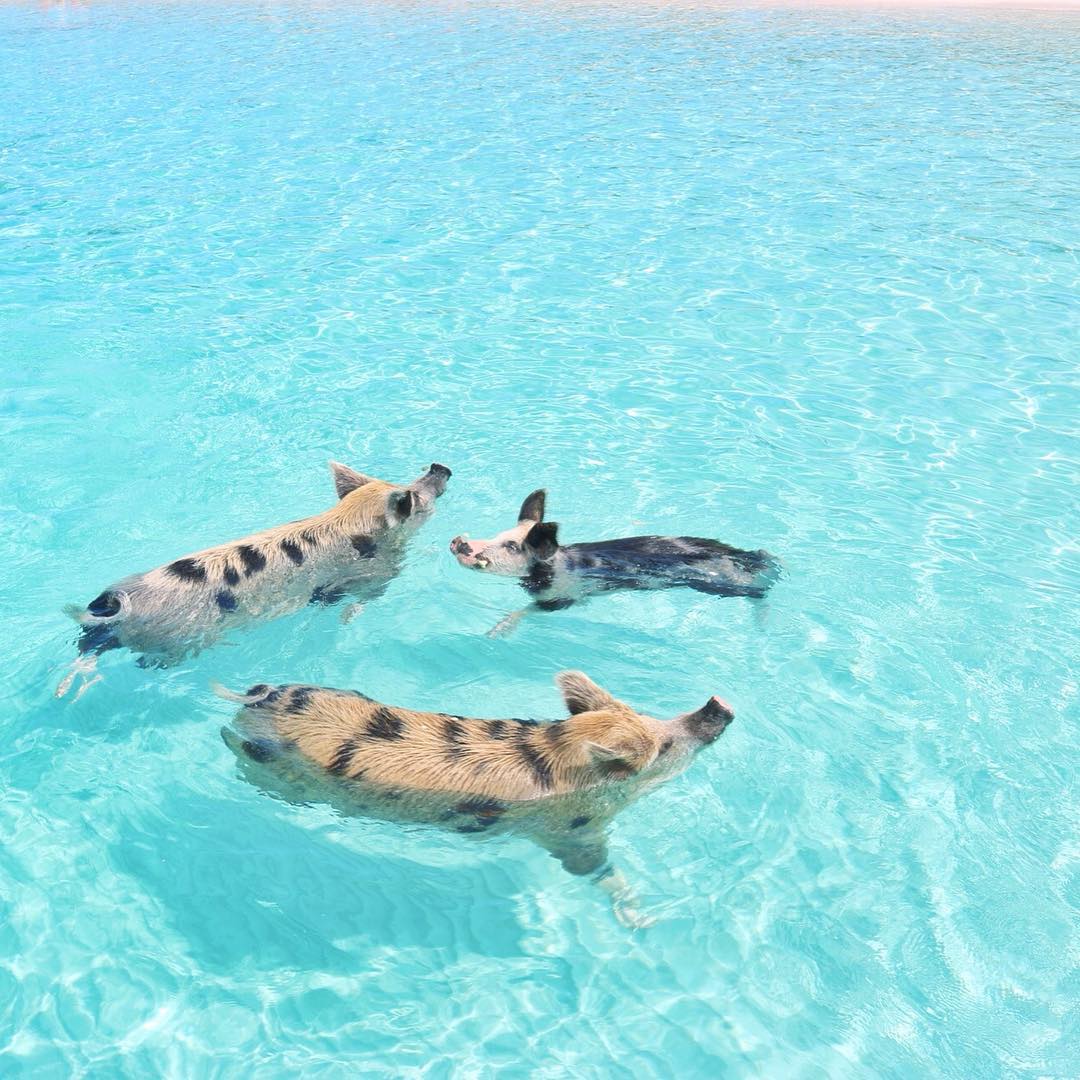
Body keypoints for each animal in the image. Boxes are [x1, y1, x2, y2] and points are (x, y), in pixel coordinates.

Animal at [56, 461, 452, 697]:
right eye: (417, 499)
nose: (440, 467)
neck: (351, 524)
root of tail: (115, 604)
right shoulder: (375, 575)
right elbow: (364, 599)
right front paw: (347, 618)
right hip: (173, 642)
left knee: (86, 644)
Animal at [216, 670, 735, 928]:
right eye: (661, 747)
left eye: (650, 719)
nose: (720, 705)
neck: (552, 755)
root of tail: (253, 698)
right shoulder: (571, 830)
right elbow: (595, 869)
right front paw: (642, 923)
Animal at [450, 489, 777, 635]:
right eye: (499, 534)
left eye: (511, 546)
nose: (459, 543)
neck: (554, 568)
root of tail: (746, 556)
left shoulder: (562, 599)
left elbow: (525, 611)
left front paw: (494, 633)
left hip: (723, 584)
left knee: (760, 591)